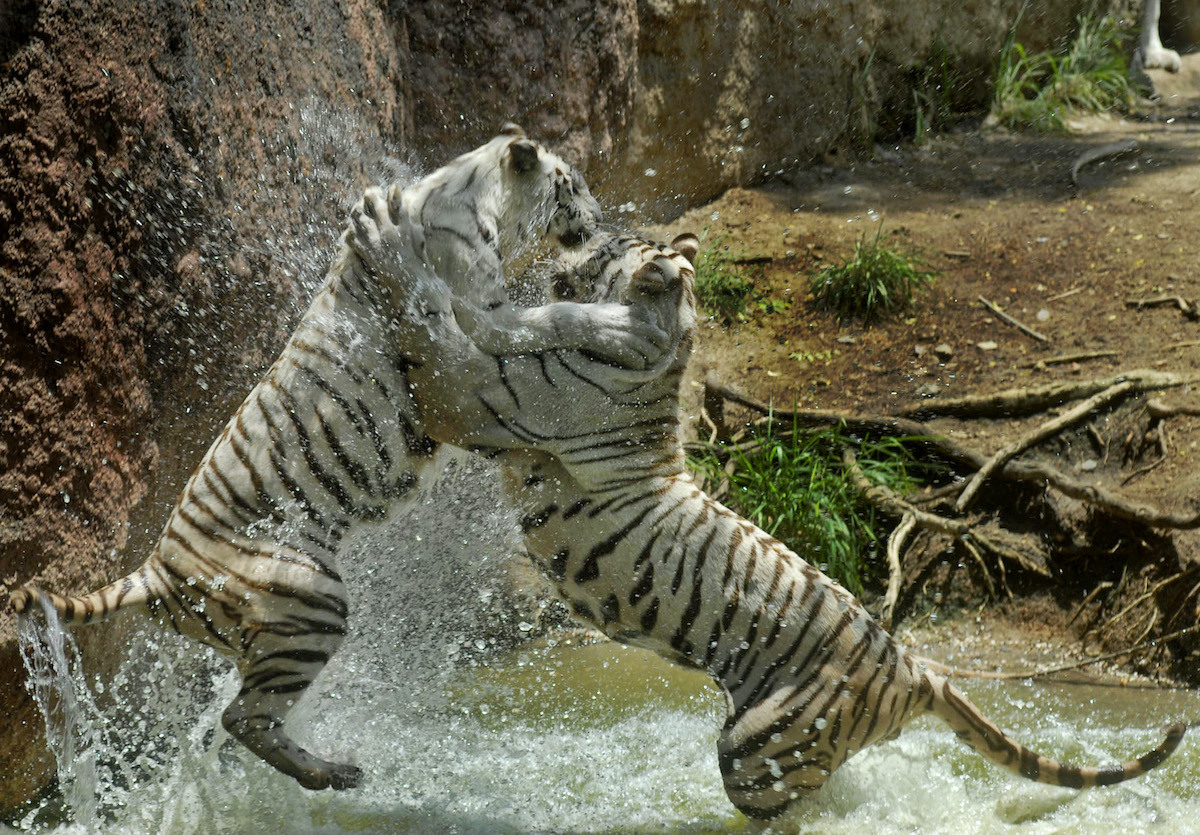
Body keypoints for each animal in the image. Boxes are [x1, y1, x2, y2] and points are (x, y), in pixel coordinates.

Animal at [8, 125, 669, 793]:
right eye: (574, 183)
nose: (599, 219)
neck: (478, 199)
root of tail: (155, 570)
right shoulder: (483, 320)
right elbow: (557, 315)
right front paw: (624, 327)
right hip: (310, 602)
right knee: (241, 717)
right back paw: (332, 773)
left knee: (242, 717)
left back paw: (333, 772)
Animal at [348, 188, 1188, 829]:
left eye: (598, 247)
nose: (566, 239)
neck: (664, 335)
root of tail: (912, 662)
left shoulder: (482, 397)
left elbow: (446, 332)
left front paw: (386, 238)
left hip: (758, 748)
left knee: (788, 808)